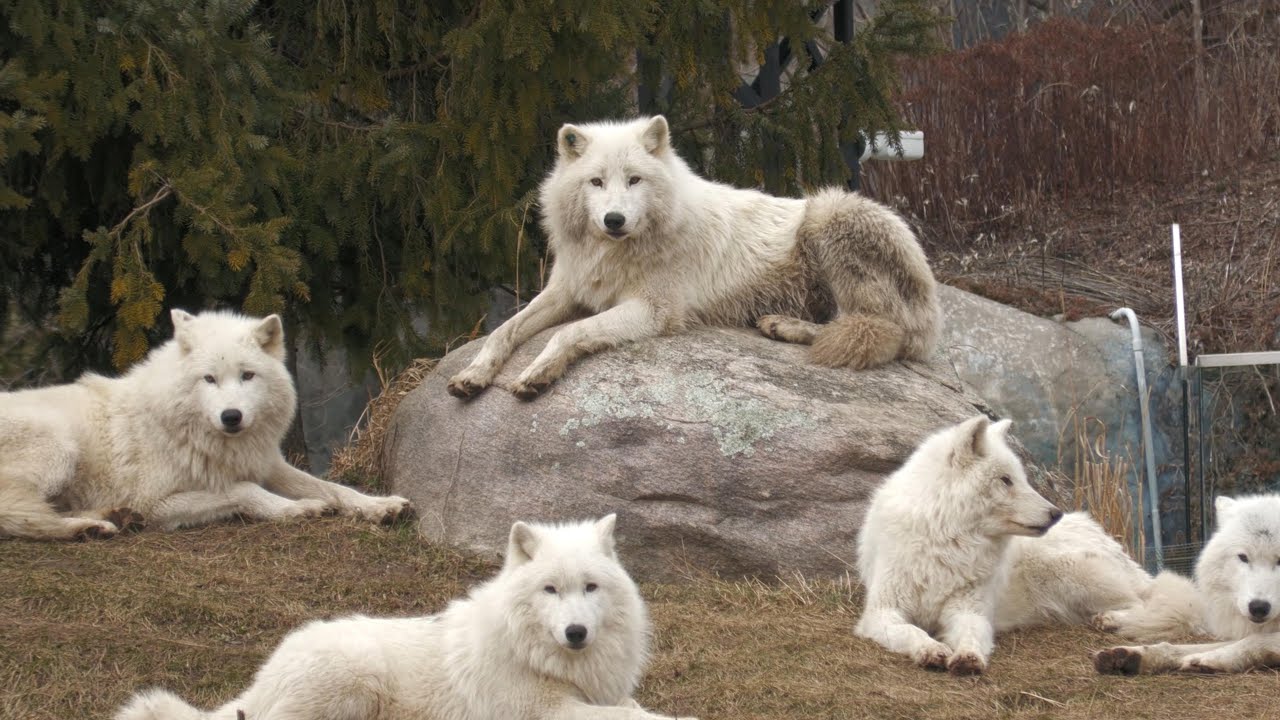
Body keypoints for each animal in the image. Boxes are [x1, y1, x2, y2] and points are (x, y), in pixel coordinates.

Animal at [0, 309, 413, 541]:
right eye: (209, 379)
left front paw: (379, 505)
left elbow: (333, 488)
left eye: (247, 375)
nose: (231, 416)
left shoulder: (266, 462)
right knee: (15, 515)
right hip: (59, 450)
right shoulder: (157, 502)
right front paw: (295, 509)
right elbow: (243, 490)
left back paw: (109, 519)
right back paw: (85, 529)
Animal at [115, 514, 697, 720]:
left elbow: (634, 709)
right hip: (354, 678)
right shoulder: (545, 714)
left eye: (590, 588)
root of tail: (263, 676)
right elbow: (636, 719)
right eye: (550, 589)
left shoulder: (603, 696)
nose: (576, 633)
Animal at [447, 115, 939, 401]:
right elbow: (504, 331)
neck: (616, 252)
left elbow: (571, 334)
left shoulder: (653, 310)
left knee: (879, 331)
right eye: (596, 182)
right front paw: (475, 373)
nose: (613, 219)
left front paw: (538, 371)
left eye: (634, 180)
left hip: (830, 212)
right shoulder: (566, 291)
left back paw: (785, 325)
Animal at [856, 416, 1163, 675]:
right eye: (1005, 480)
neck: (948, 543)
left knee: (1143, 603)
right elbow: (912, 631)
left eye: (1022, 478)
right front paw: (930, 649)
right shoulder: (881, 613)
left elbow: (971, 634)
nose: (1056, 514)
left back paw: (1111, 619)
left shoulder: (970, 611)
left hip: (1072, 571)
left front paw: (968, 657)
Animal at [1094, 494, 1280, 675]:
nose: (1258, 607)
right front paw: (1134, 655)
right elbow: (1179, 647)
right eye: (1243, 557)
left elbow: (1254, 639)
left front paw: (1212, 659)